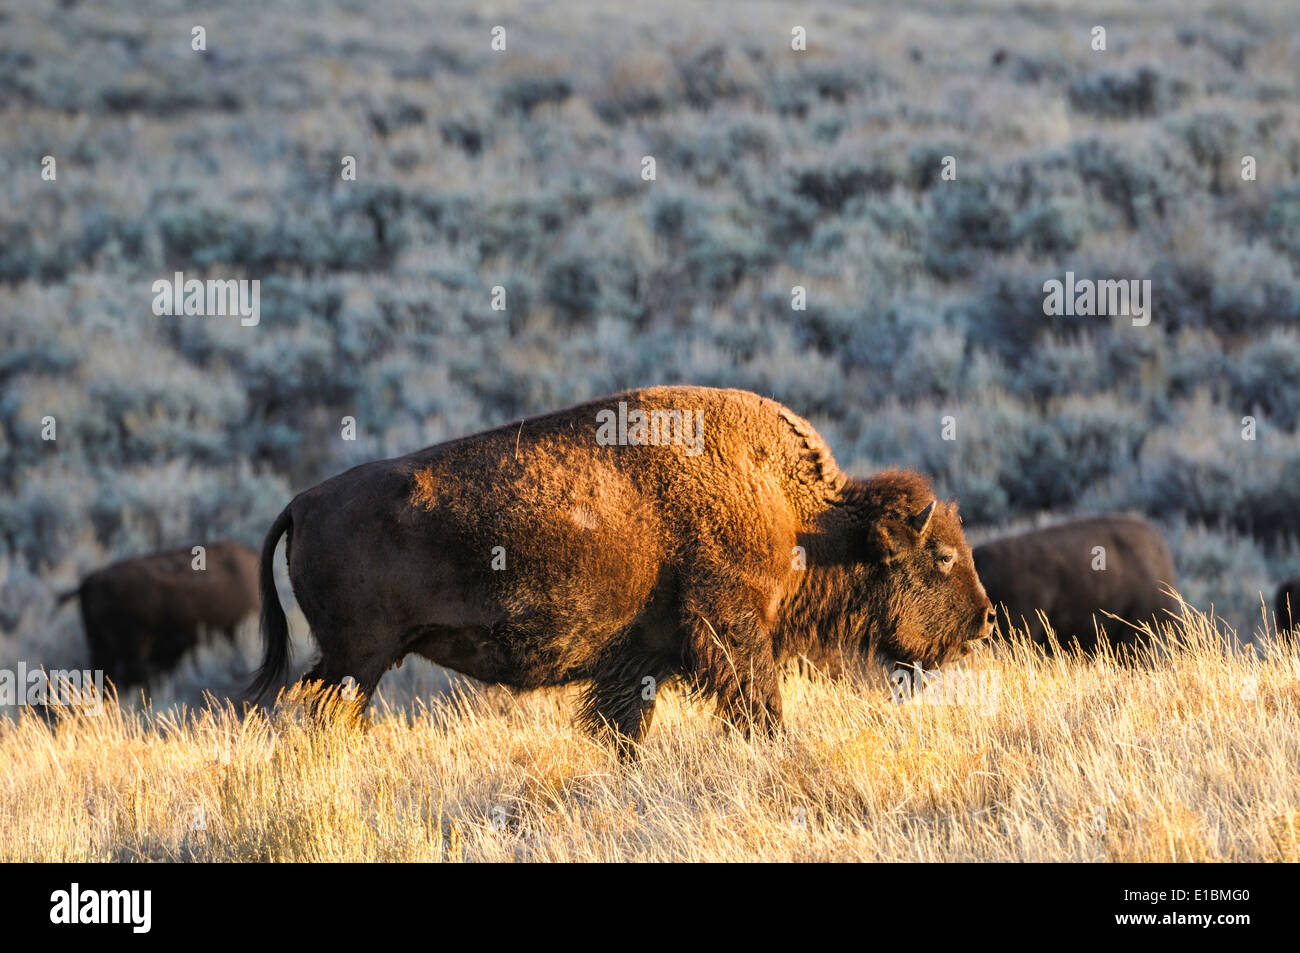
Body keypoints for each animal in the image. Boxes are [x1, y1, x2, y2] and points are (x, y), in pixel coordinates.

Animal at [252, 386, 995, 750]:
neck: (802, 518)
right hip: (359, 658)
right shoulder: (734, 630)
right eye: (939, 556)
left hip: (356, 661)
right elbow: (758, 705)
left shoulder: (635, 665)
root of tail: (302, 501)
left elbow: (621, 728)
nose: (984, 622)